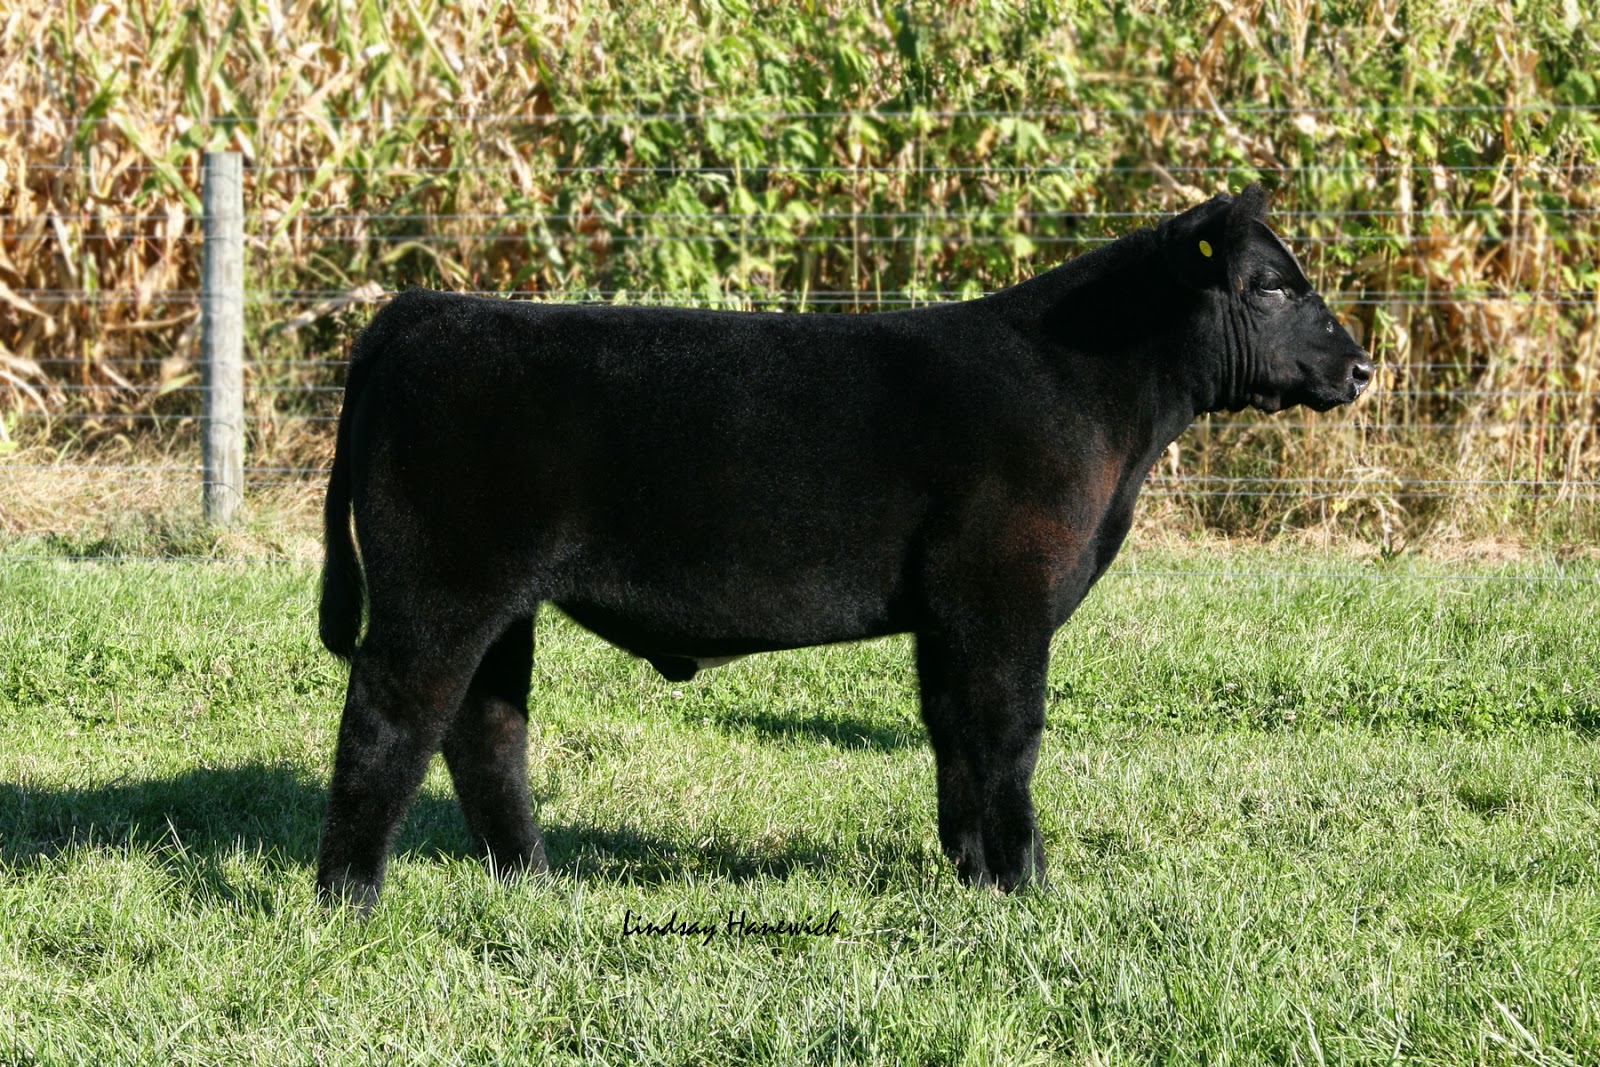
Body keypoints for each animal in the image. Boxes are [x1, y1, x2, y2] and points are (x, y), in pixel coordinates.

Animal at [314, 185, 1371, 909]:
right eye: (1273, 287)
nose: (1362, 366)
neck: (1103, 408)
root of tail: (425, 307)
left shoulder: (950, 615)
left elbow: (955, 735)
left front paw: (972, 875)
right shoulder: (1004, 597)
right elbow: (1009, 735)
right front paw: (1026, 883)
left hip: (501, 601)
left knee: (484, 728)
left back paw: (533, 879)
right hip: (440, 586)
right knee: (390, 718)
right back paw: (348, 897)